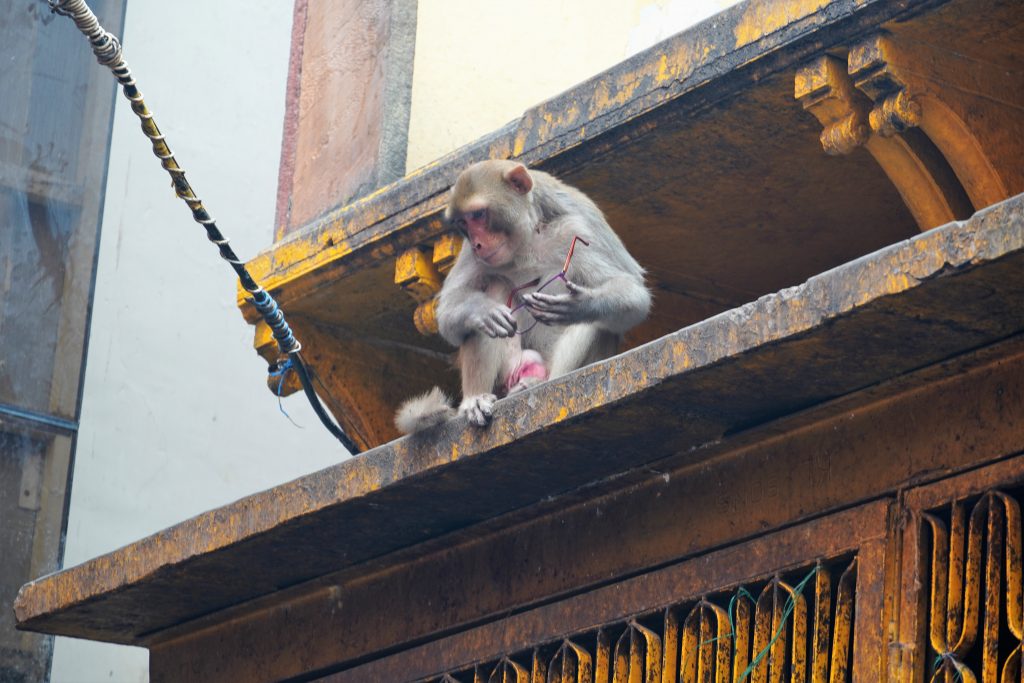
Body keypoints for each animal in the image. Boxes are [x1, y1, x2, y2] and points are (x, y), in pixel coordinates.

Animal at [395, 159, 651, 434]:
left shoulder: (579, 226)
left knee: (598, 323)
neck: (527, 235)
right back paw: (476, 399)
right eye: (463, 223)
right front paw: (482, 311)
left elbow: (633, 290)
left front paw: (582, 305)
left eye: (478, 215)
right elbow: (448, 314)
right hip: (511, 369)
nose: (477, 244)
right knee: (493, 292)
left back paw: (543, 384)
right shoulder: (473, 256)